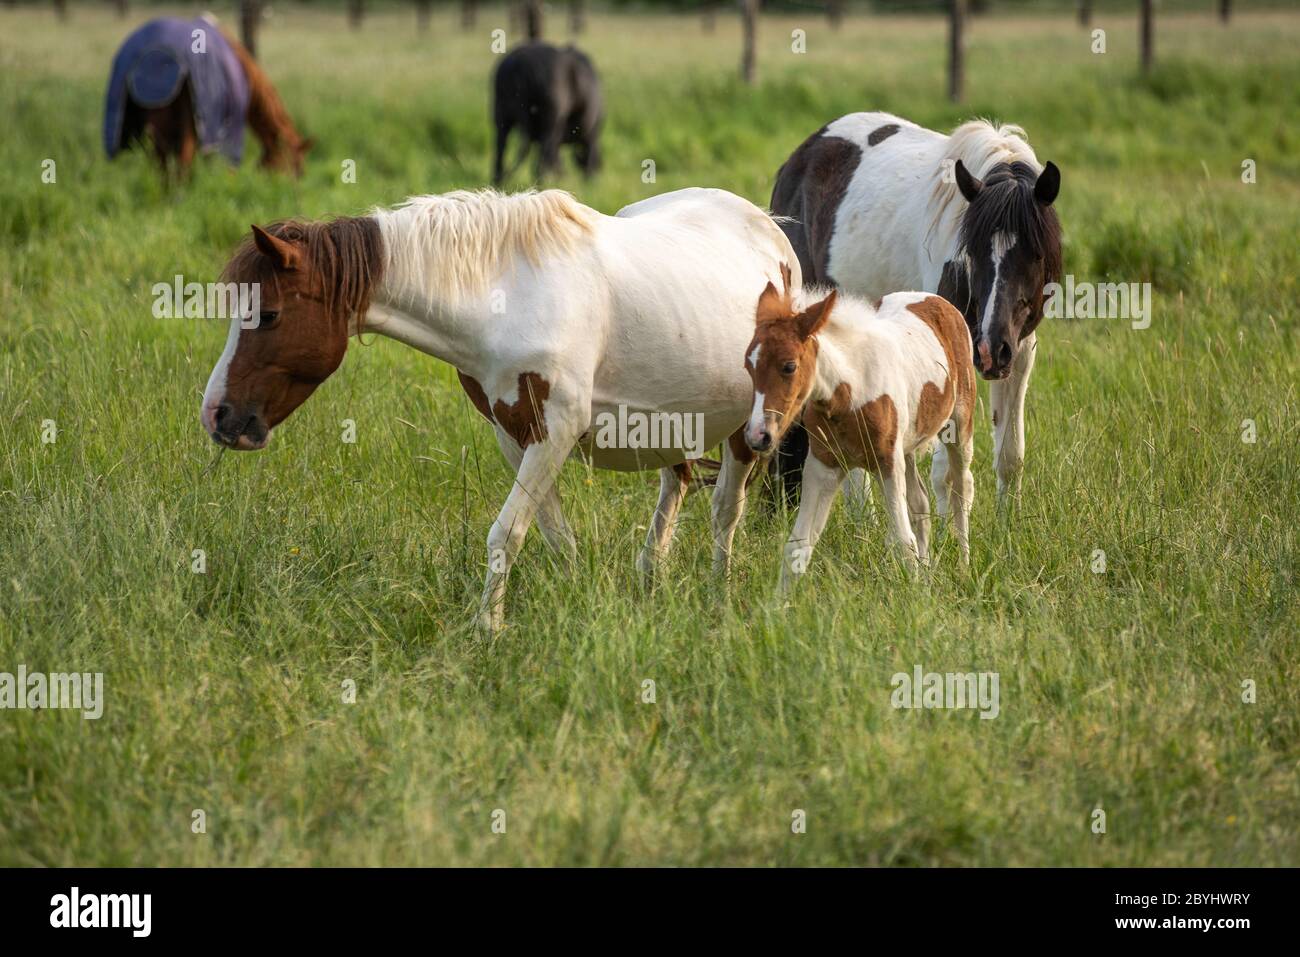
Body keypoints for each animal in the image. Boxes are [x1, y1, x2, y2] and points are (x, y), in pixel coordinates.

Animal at [200, 188, 800, 633]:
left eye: (269, 314)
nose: (217, 416)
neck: (508, 297)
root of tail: (768, 225)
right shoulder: (514, 436)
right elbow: (553, 535)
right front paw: (575, 597)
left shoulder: (554, 433)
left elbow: (505, 533)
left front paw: (487, 628)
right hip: (673, 423)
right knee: (675, 484)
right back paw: (652, 576)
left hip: (746, 431)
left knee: (725, 512)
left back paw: (718, 595)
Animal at [492, 42, 603, 185]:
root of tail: (519, 63)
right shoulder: (590, 135)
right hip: (548, 123)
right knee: (540, 163)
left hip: (501, 118)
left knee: (500, 151)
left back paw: (498, 182)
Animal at [742, 272, 976, 588]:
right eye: (748, 365)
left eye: (789, 366)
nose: (758, 436)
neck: (851, 392)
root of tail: (935, 299)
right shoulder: (824, 466)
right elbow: (798, 544)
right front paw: (780, 601)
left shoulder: (887, 463)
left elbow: (902, 542)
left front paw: (915, 593)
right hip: (908, 445)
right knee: (920, 502)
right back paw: (928, 574)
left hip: (959, 427)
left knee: (962, 489)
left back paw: (963, 566)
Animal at [768, 112, 1061, 509]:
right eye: (971, 250)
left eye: (1035, 254)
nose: (989, 349)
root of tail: (800, 157)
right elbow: (947, 473)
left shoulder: (1021, 349)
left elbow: (1010, 454)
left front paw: (1009, 520)